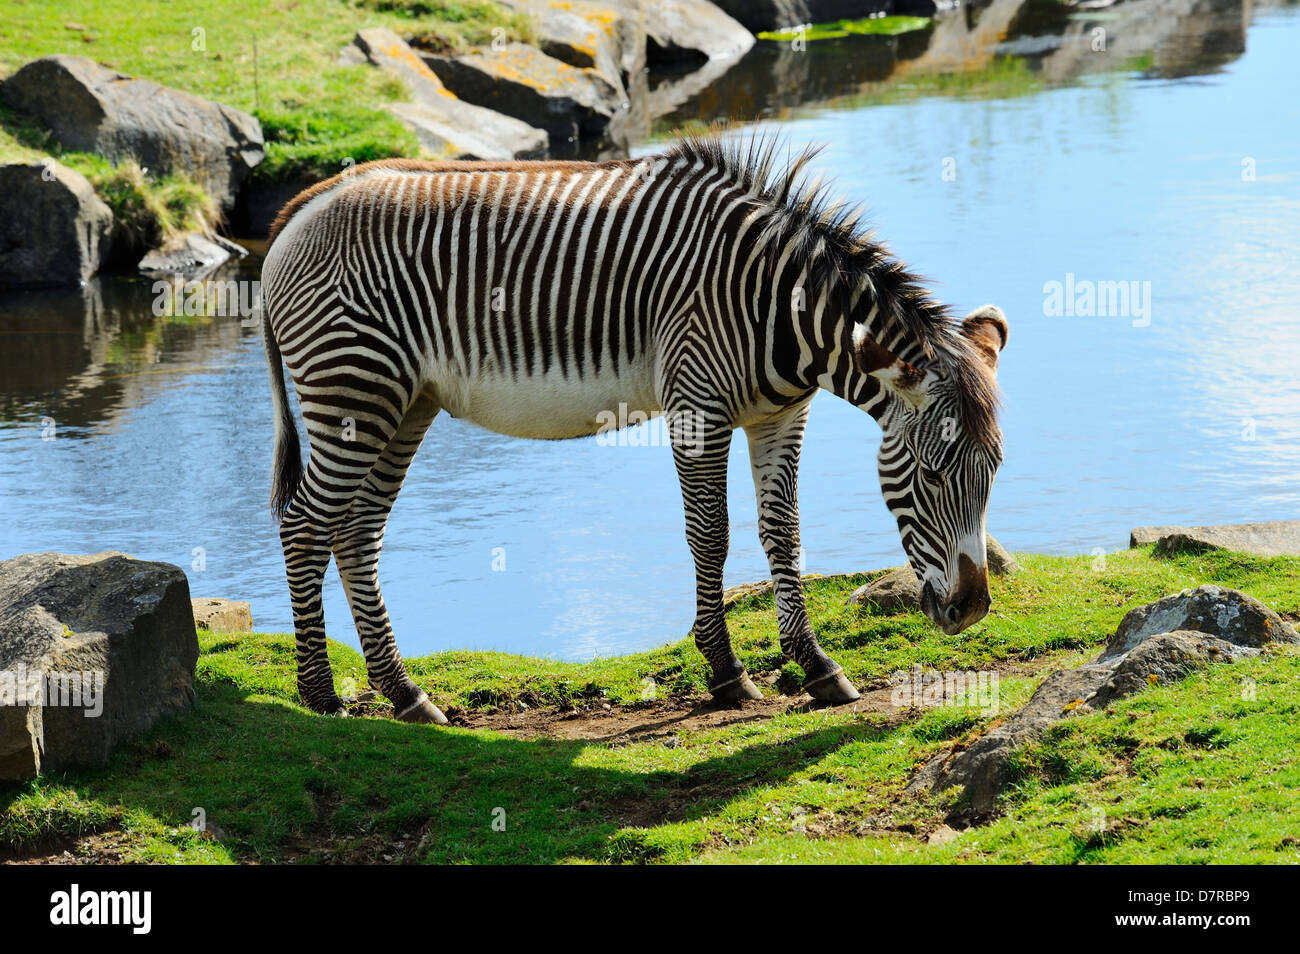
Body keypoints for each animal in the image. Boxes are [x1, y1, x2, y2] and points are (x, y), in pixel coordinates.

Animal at [260, 131, 1008, 725]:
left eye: (994, 472)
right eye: (932, 474)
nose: (971, 610)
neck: (779, 306)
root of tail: (304, 206)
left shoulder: (780, 413)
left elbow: (783, 534)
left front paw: (817, 666)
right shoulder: (698, 404)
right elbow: (711, 535)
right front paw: (727, 674)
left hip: (403, 403)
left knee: (356, 534)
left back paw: (406, 695)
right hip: (353, 388)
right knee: (305, 527)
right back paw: (321, 696)